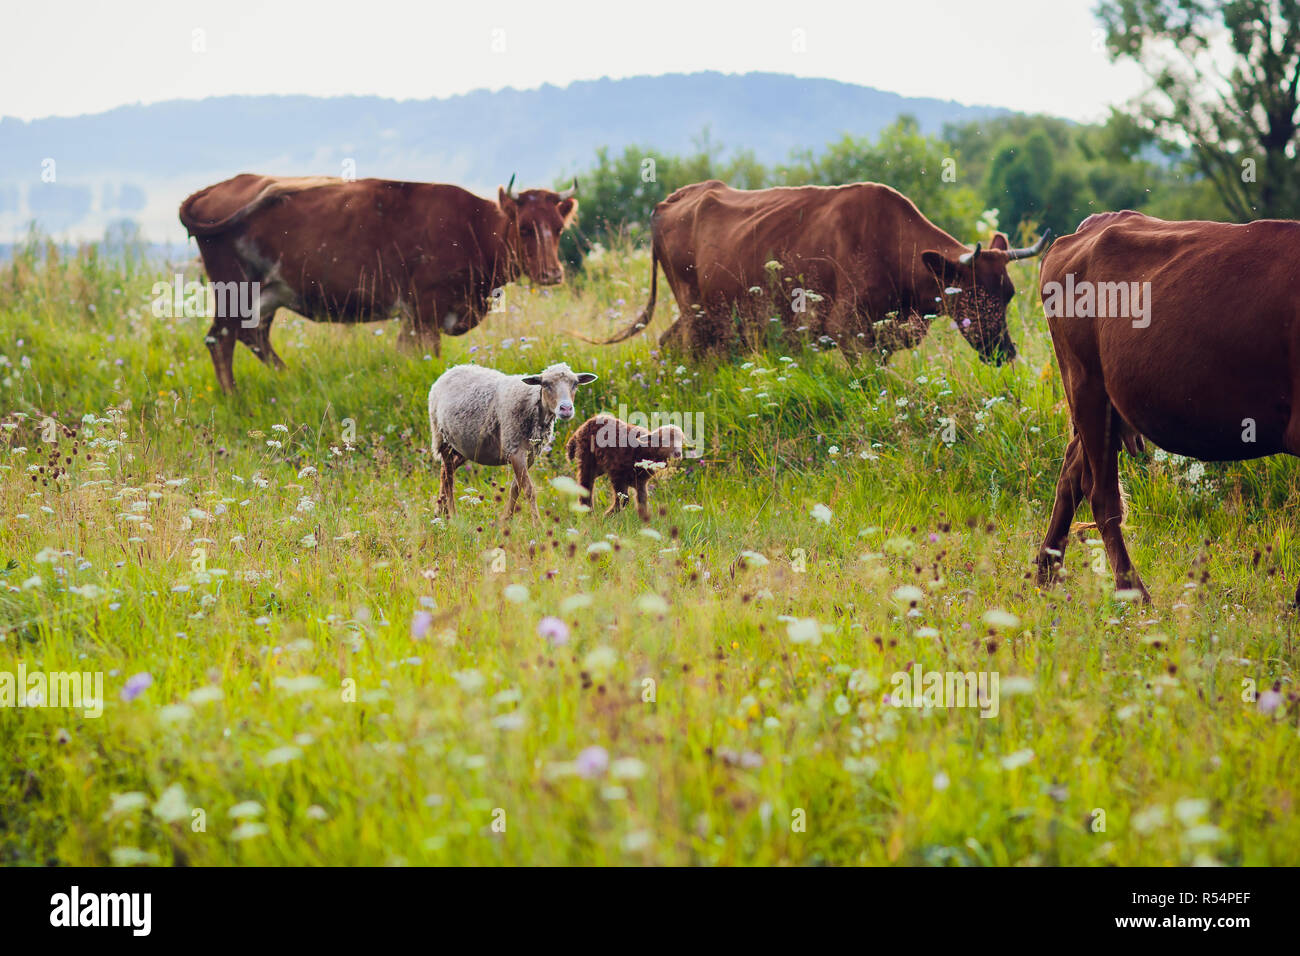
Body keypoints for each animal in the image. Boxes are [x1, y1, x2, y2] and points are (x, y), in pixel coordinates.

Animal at [428, 362, 597, 521]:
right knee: (449, 477)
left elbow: (516, 488)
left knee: (445, 471)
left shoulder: (529, 455)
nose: (566, 409)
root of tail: (450, 370)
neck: (532, 406)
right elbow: (529, 490)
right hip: (442, 437)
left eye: (575, 384)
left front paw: (506, 519)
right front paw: (537, 525)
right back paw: (452, 513)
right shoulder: (515, 450)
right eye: (545, 384)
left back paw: (440, 510)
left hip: (464, 447)